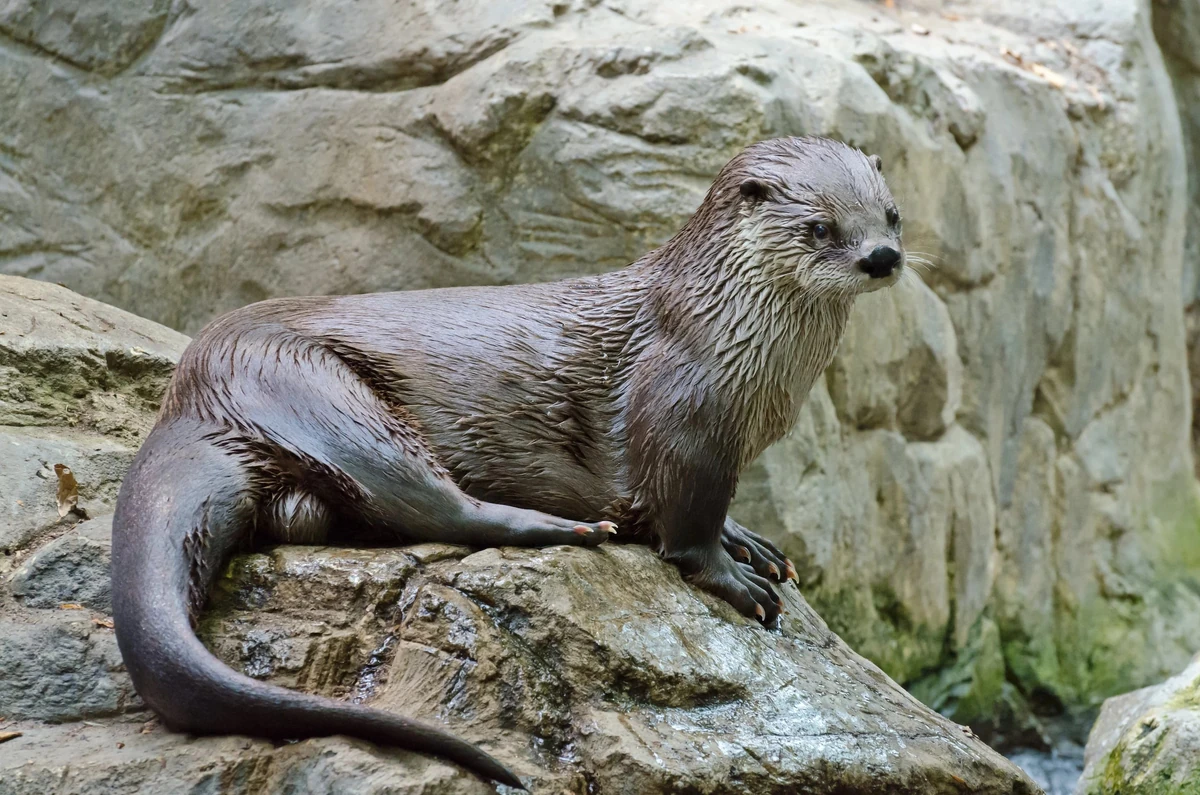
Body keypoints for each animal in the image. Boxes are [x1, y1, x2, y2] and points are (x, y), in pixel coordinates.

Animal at [111, 136, 905, 789]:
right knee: (434, 506)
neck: (729, 333)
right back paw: (567, 528)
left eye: (892, 214)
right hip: (319, 395)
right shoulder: (686, 421)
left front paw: (751, 542)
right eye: (821, 228)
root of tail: (191, 398)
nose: (883, 256)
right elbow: (685, 531)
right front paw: (735, 578)